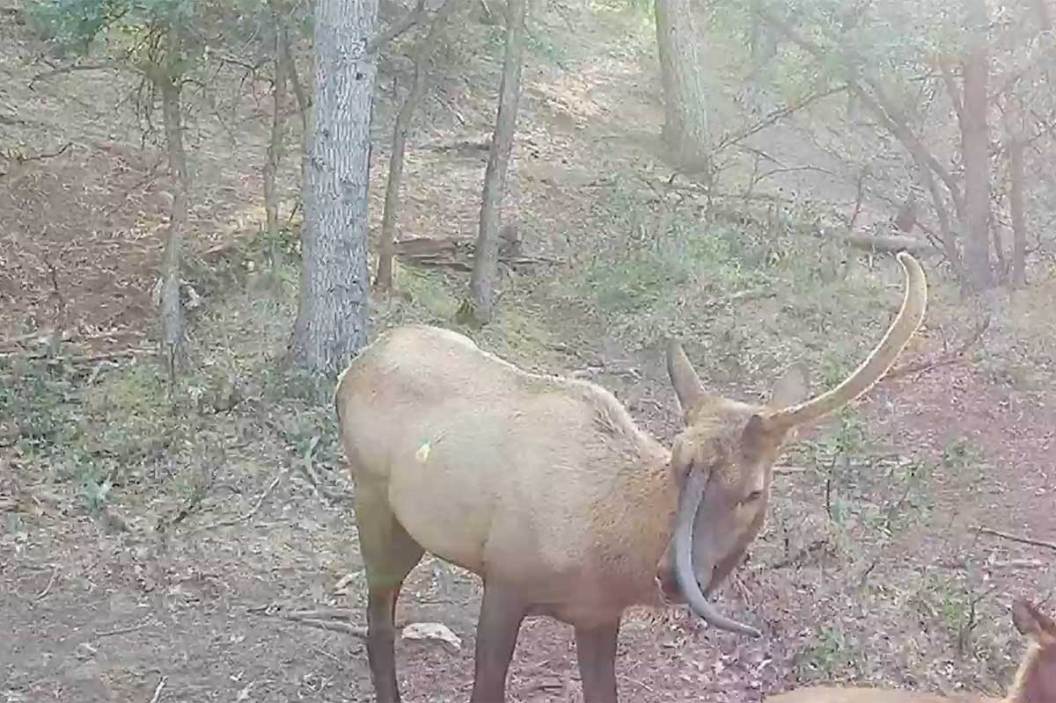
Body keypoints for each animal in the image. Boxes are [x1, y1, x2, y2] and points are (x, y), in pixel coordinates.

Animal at [334, 251, 928, 703]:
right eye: (677, 463)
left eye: (753, 490)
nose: (673, 576)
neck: (608, 556)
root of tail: (355, 364)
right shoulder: (504, 580)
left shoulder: (598, 616)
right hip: (374, 500)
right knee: (377, 621)